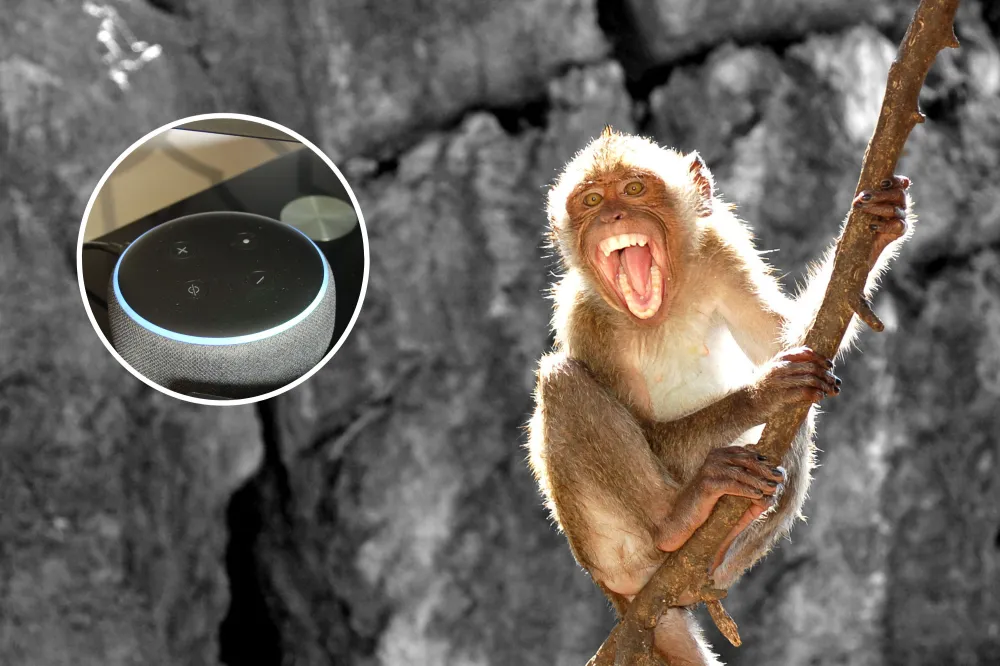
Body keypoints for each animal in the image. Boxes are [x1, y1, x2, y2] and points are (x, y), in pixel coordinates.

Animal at [526, 127, 913, 664]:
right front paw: (759, 392)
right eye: (591, 201)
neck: (663, 308)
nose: (613, 217)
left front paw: (872, 231)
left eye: (633, 191)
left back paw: (719, 544)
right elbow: (651, 431)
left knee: (799, 425)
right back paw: (677, 518)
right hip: (609, 550)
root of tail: (632, 600)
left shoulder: (721, 252)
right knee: (561, 380)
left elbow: (786, 340)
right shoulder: (583, 315)